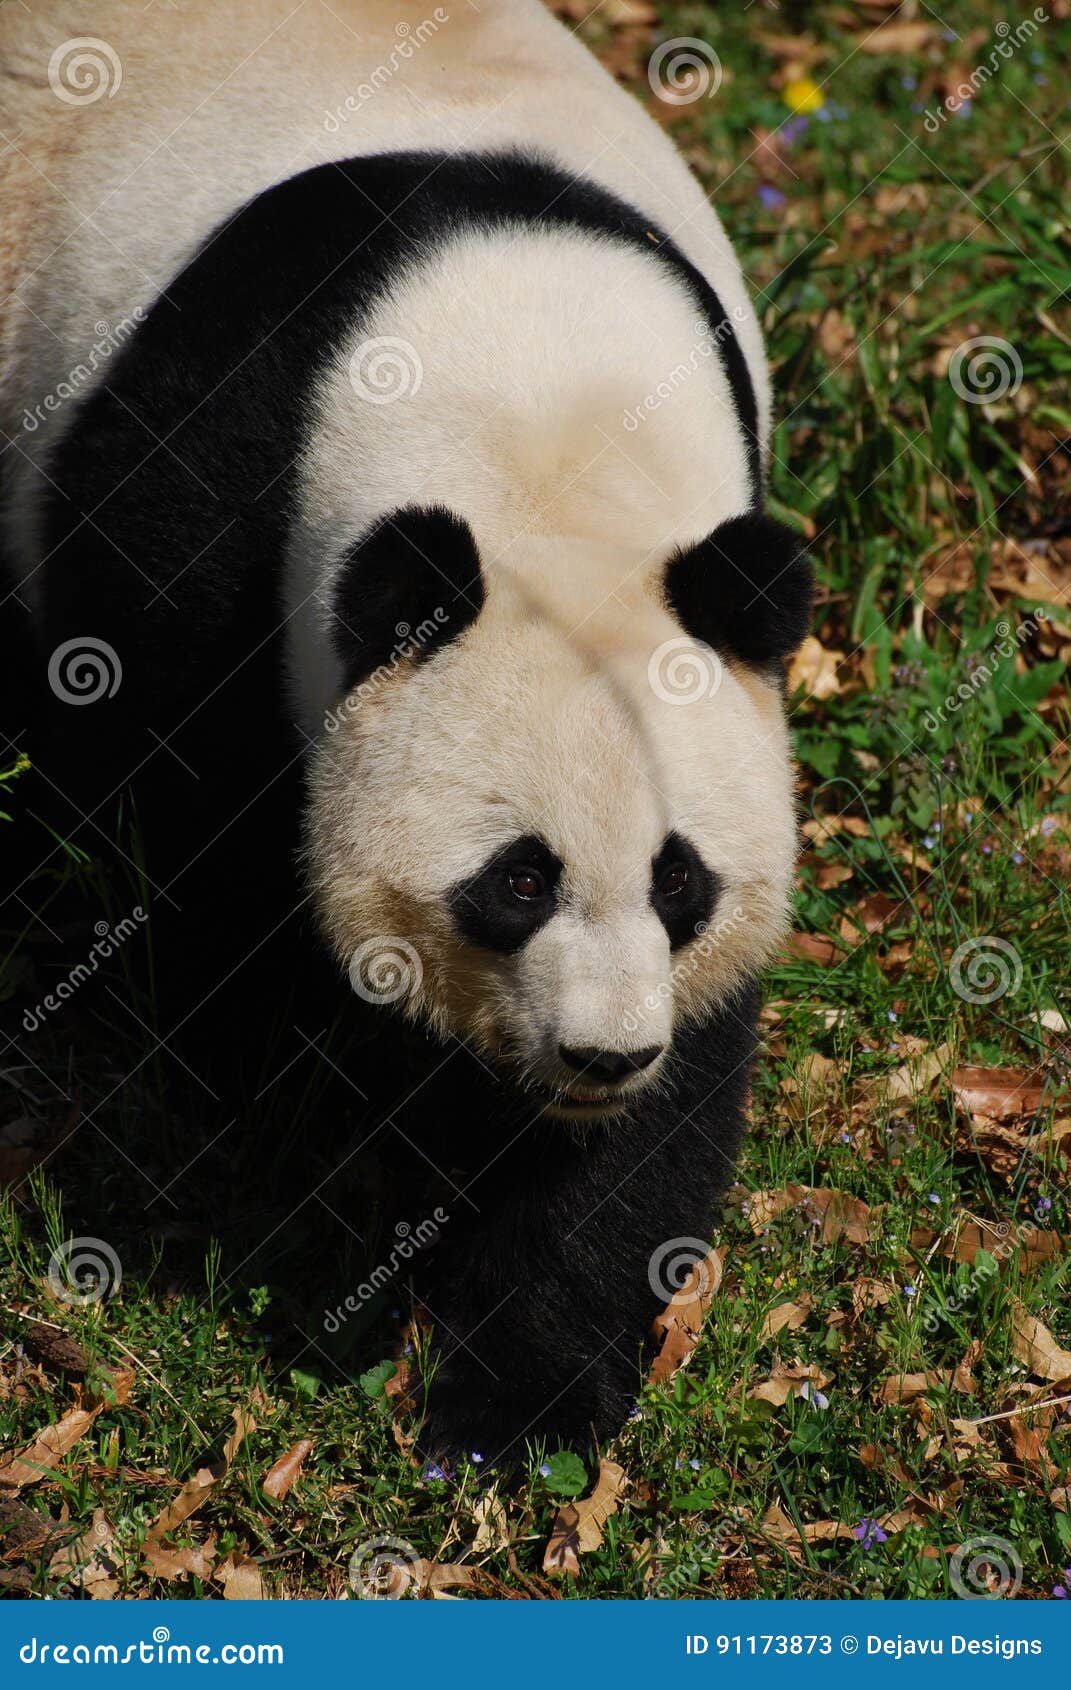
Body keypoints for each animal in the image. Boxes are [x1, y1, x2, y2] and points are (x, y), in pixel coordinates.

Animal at [0, 0, 811, 1462]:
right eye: (517, 880)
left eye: (679, 883)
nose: (600, 1053)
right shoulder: (195, 484)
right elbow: (186, 835)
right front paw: (285, 1109)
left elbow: (647, 1121)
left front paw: (520, 1400)